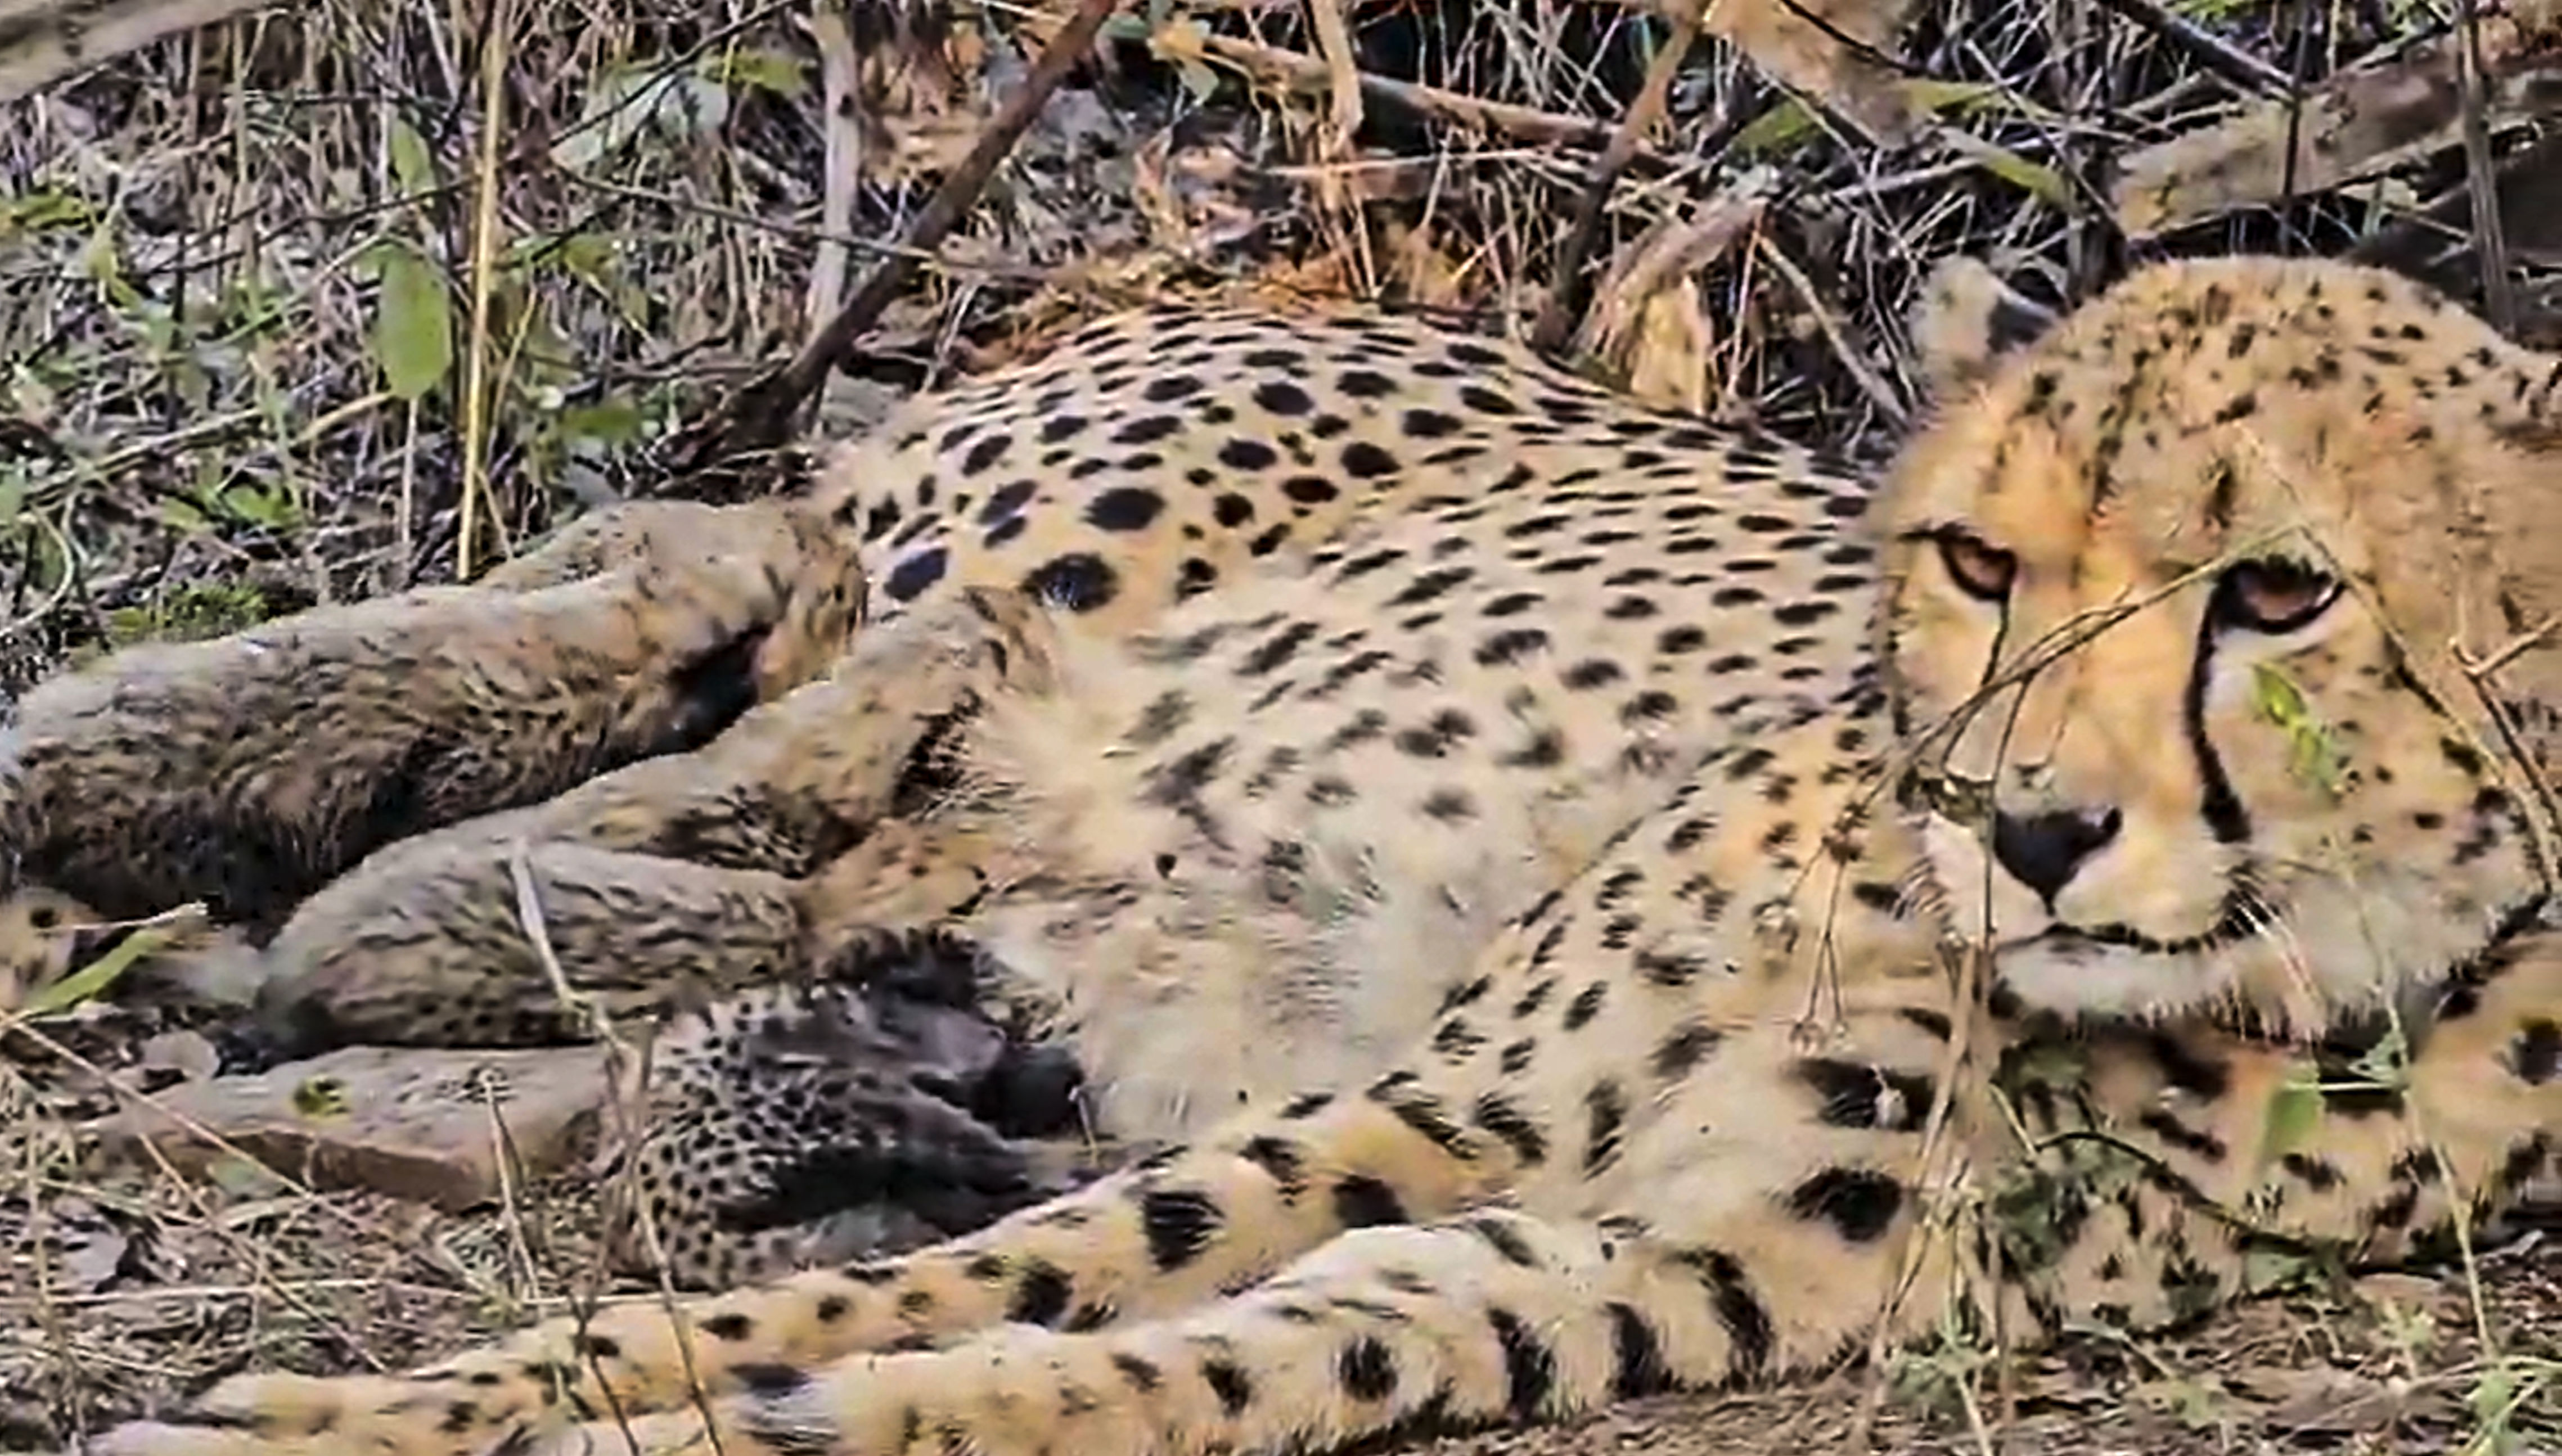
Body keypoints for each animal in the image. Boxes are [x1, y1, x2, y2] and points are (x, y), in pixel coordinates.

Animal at [61, 253, 2562, 1456]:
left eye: (2277, 592)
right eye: (1974, 558)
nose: (2021, 822)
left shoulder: (1676, 1258)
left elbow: (1156, 1349)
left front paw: (797, 1413)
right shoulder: (1449, 1099)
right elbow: (948, 1272)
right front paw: (363, 1412)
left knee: (827, 767)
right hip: (1059, 538)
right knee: (743, 586)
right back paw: (137, 793)